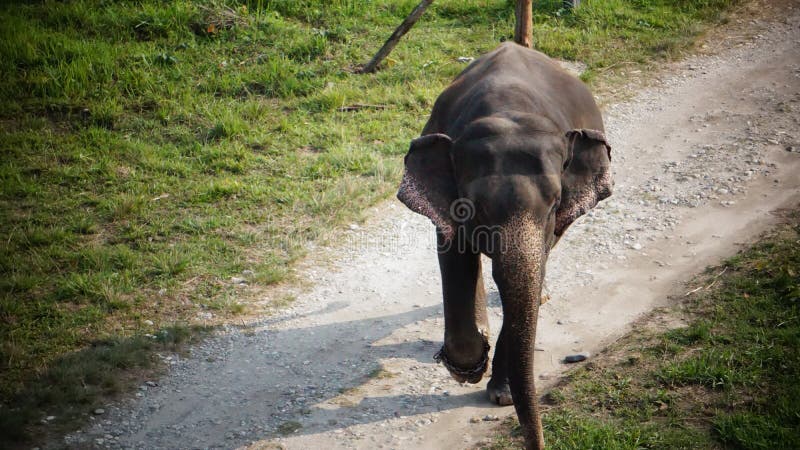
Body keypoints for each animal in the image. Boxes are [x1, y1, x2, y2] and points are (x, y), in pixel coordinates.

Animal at [396, 42, 612, 449]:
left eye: (555, 204)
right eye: (472, 207)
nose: (539, 443)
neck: (508, 110)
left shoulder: (553, 225)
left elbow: (532, 272)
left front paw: (502, 394)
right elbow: (454, 253)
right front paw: (466, 369)